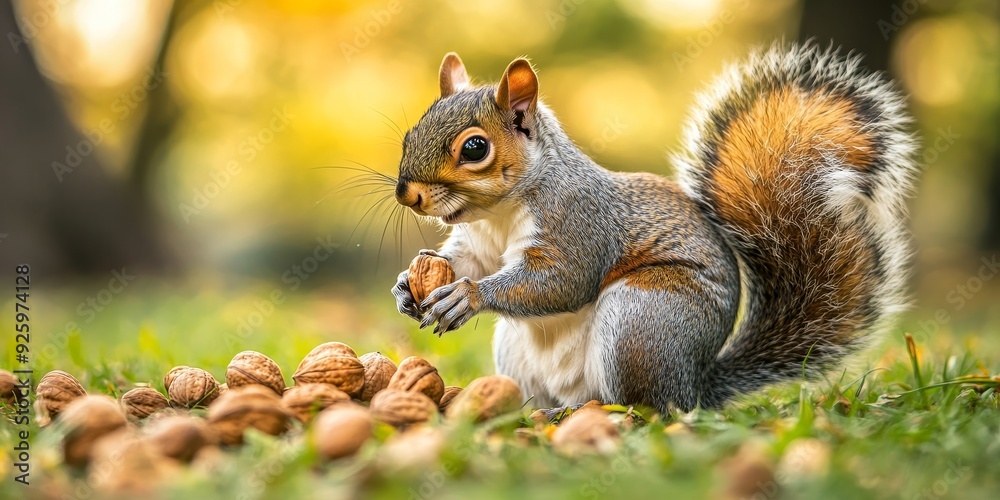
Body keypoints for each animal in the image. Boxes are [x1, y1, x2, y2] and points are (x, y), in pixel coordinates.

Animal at [389, 43, 917, 411]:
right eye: (411, 132)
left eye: (475, 148)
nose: (406, 194)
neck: (498, 213)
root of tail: (695, 385)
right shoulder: (479, 243)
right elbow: (463, 261)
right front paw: (407, 286)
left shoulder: (578, 223)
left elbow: (561, 281)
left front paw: (467, 296)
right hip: (523, 350)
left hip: (644, 320)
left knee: (644, 407)